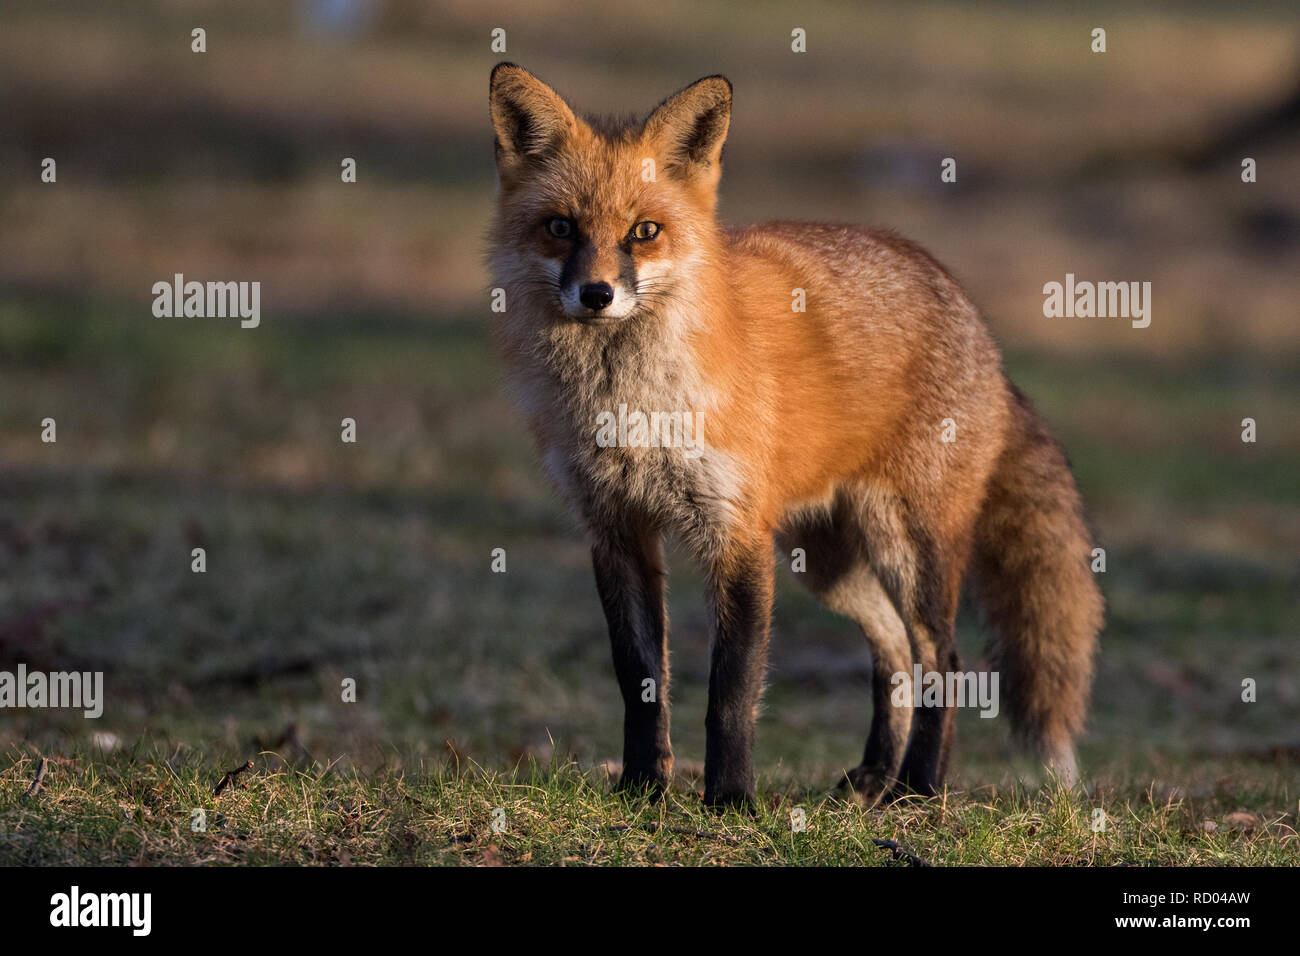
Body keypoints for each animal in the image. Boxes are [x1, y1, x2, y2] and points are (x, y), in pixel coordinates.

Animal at [487, 62, 1104, 810]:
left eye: (644, 231)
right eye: (559, 227)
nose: (598, 294)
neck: (630, 404)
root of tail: (975, 321)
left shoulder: (739, 534)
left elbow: (731, 693)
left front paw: (729, 798)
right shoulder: (614, 528)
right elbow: (640, 681)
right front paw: (642, 788)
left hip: (907, 545)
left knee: (945, 660)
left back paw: (919, 789)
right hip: (830, 561)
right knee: (894, 652)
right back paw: (875, 775)